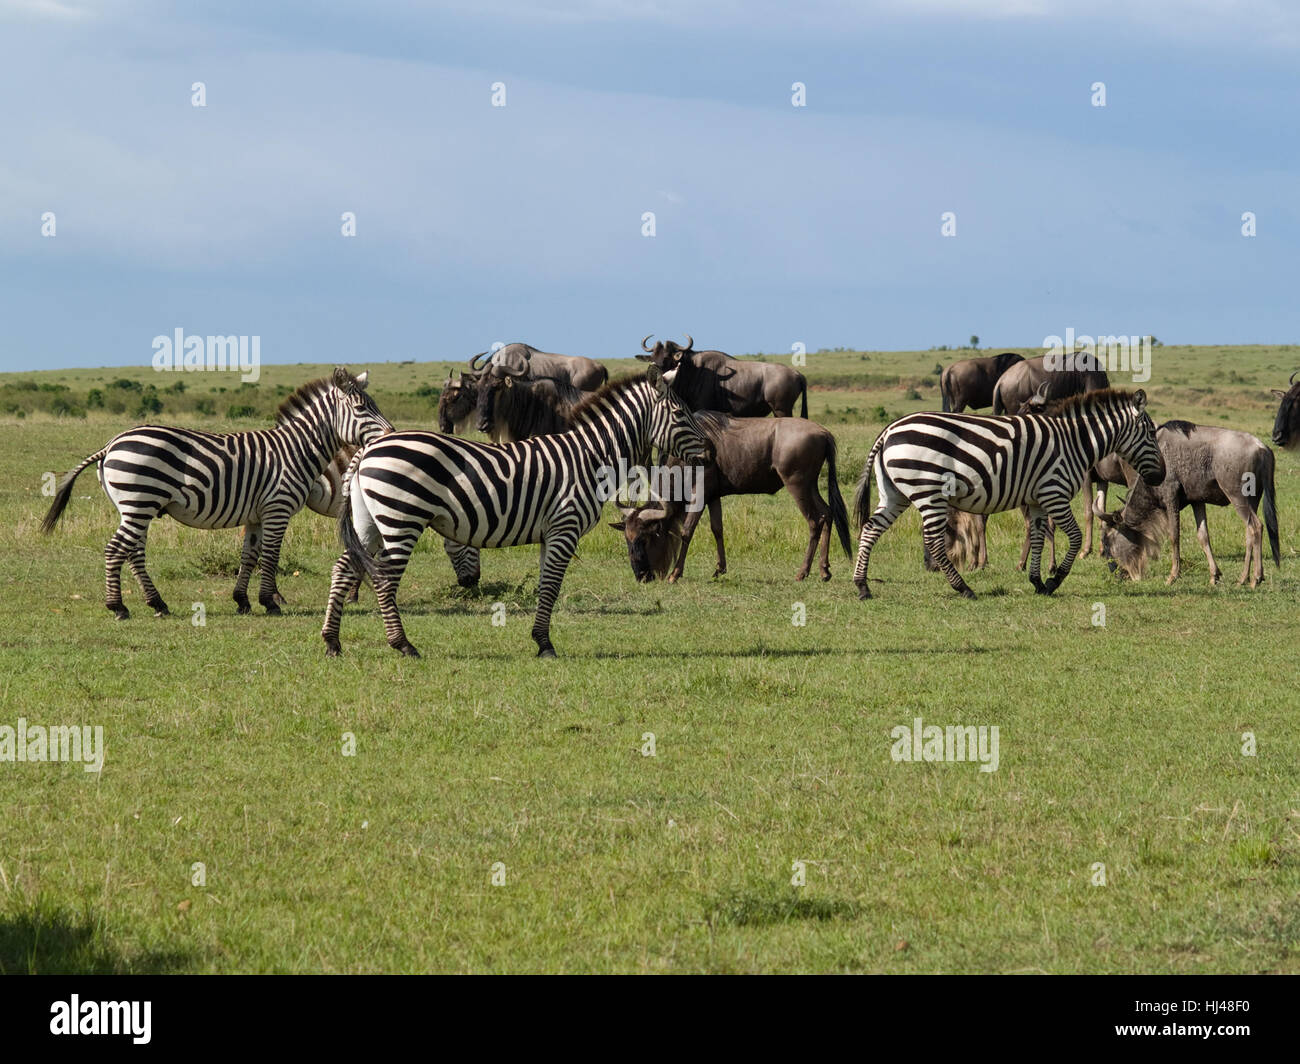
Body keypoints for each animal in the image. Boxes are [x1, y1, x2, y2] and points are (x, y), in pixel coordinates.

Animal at [41, 367, 393, 619]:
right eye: (361, 409)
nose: (391, 434)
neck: (295, 449)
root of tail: (111, 444)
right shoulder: (278, 508)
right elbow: (271, 556)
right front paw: (270, 602)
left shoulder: (257, 514)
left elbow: (250, 555)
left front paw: (243, 600)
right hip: (139, 502)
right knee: (116, 550)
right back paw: (118, 607)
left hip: (134, 506)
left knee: (133, 552)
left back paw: (157, 603)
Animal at [321, 366, 712, 659]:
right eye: (680, 413)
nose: (710, 451)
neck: (590, 456)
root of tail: (368, 449)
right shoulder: (565, 527)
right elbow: (552, 586)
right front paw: (546, 645)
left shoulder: (550, 533)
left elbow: (544, 586)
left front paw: (540, 640)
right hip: (401, 519)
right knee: (385, 578)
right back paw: (403, 645)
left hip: (369, 522)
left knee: (343, 568)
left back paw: (332, 641)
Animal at [851, 388, 1165, 599]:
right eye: (1151, 432)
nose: (1161, 476)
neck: (1074, 442)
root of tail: (888, 431)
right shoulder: (1055, 492)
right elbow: (1074, 537)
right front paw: (1055, 580)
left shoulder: (1037, 500)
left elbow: (1037, 537)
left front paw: (1037, 582)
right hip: (929, 492)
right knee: (934, 541)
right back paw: (964, 588)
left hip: (895, 493)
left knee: (870, 529)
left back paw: (862, 586)